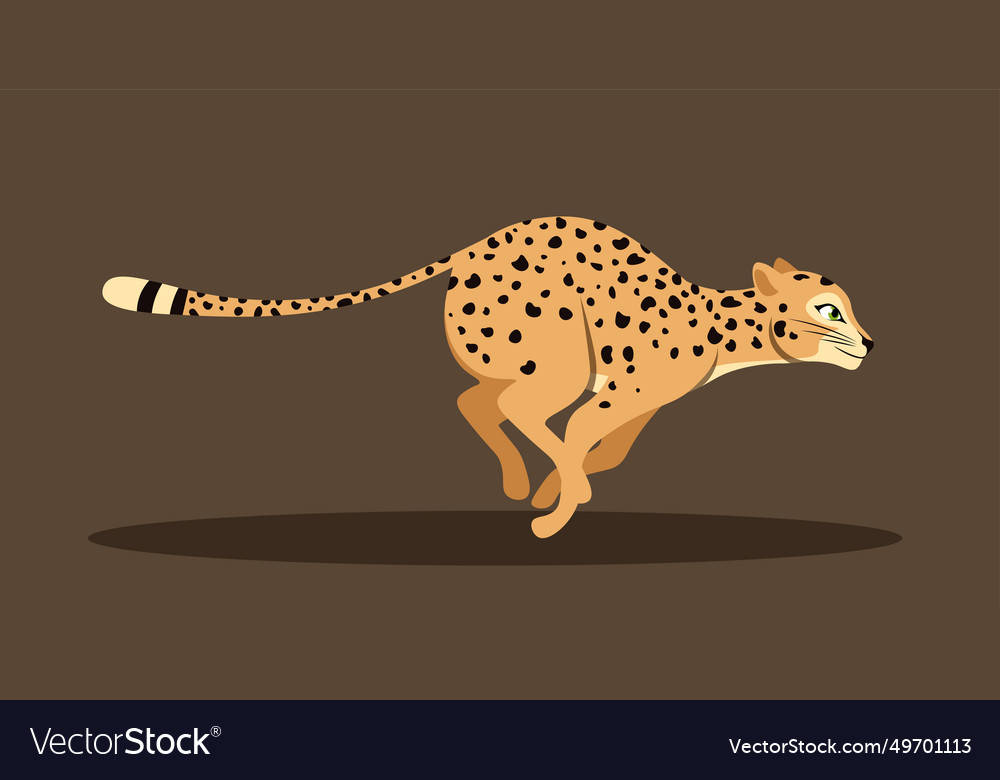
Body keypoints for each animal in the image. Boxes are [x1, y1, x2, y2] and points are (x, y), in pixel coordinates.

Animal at [103, 216, 874, 538]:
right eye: (827, 307)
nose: (869, 342)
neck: (726, 331)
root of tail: (474, 245)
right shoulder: (610, 396)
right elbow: (580, 443)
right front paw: (558, 508)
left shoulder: (634, 401)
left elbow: (609, 449)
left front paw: (556, 488)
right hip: (559, 357)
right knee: (517, 408)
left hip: (524, 360)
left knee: (476, 400)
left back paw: (513, 481)